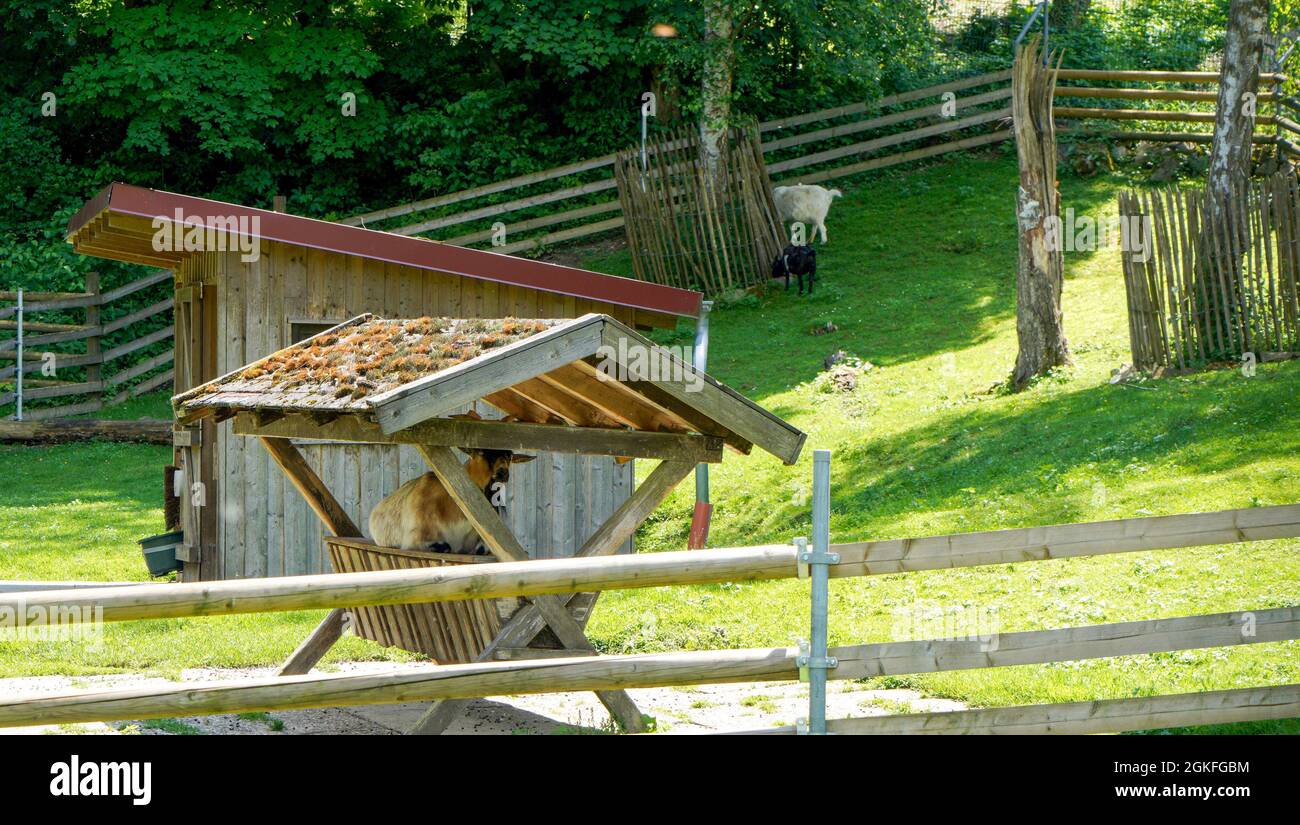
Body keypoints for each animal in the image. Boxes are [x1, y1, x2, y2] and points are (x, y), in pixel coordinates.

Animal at [368, 449, 535, 554]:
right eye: (480, 452)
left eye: (510, 456)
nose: (502, 473)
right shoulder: (414, 538)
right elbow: (445, 546)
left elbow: (480, 549)